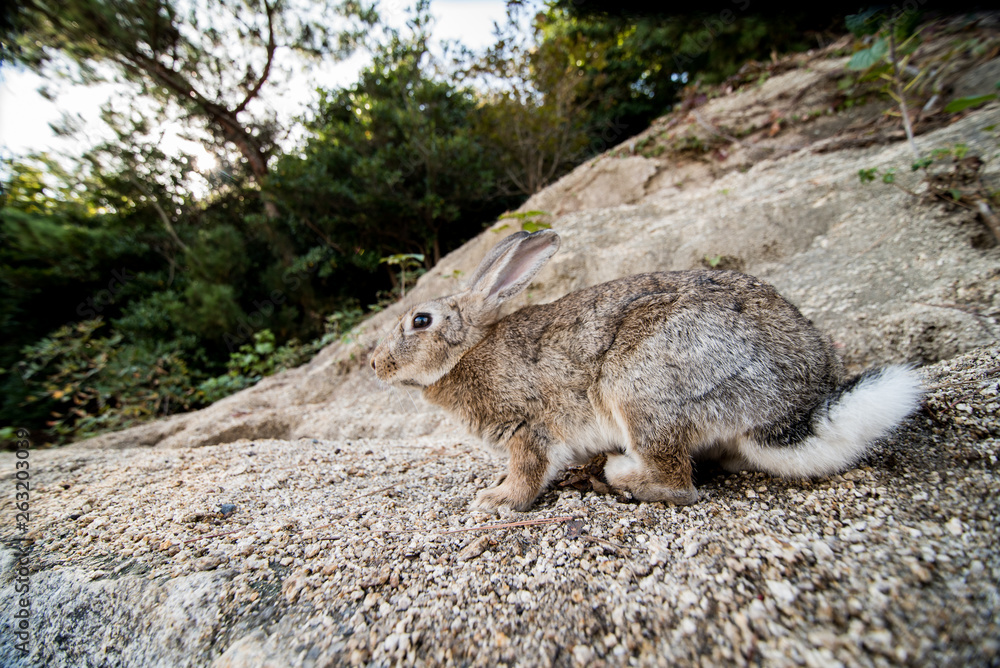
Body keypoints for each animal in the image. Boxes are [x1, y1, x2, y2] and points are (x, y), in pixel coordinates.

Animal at [369, 230, 923, 512]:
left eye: (421, 321)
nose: (375, 364)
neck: (468, 352)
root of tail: (792, 406)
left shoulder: (528, 428)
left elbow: (527, 472)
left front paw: (496, 499)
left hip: (639, 389)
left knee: (679, 484)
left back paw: (620, 472)